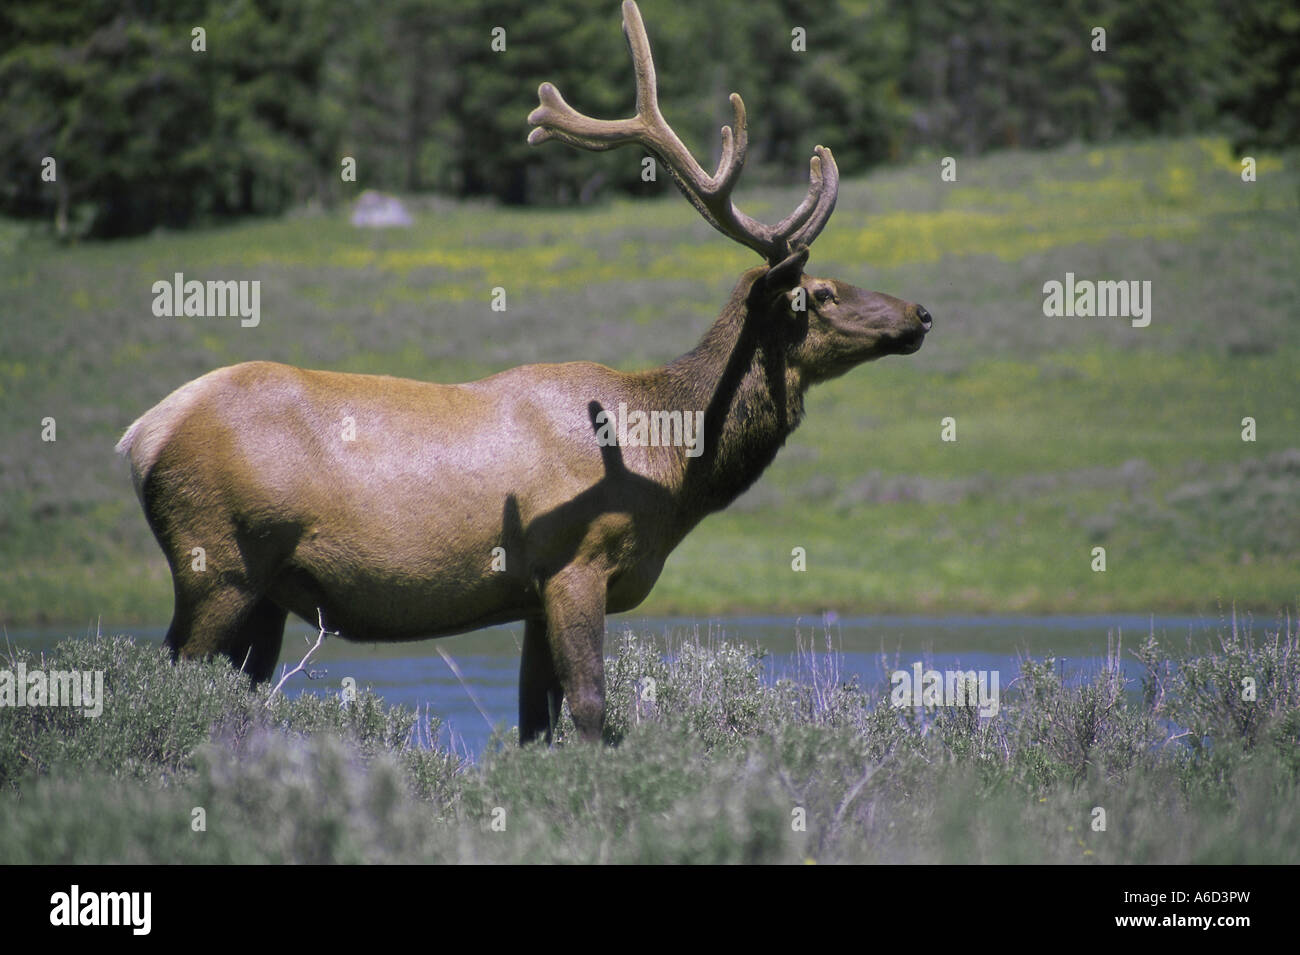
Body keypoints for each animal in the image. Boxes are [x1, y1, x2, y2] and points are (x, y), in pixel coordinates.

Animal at [116, 0, 931, 745]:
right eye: (817, 294)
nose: (920, 313)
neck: (668, 455)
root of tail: (141, 436)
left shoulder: (534, 597)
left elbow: (535, 726)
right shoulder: (575, 563)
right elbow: (593, 713)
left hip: (266, 596)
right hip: (217, 563)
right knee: (172, 680)